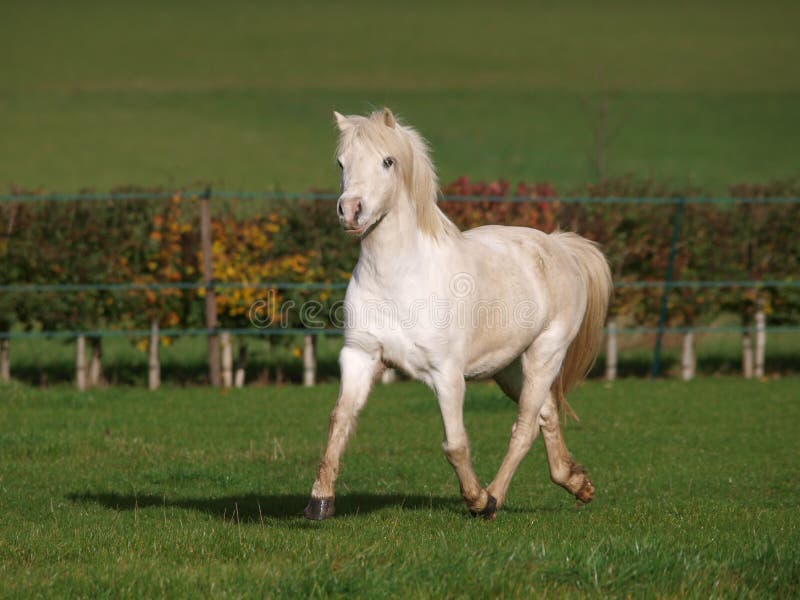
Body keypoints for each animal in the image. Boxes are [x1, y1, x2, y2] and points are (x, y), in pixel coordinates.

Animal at [305, 108, 612, 520]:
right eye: (341, 162)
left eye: (388, 161)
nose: (351, 211)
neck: (400, 278)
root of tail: (561, 247)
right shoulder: (359, 357)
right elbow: (339, 422)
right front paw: (319, 501)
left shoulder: (446, 373)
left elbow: (455, 444)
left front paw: (476, 498)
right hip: (510, 367)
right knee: (545, 415)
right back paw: (577, 483)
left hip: (545, 354)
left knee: (524, 428)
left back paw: (493, 499)